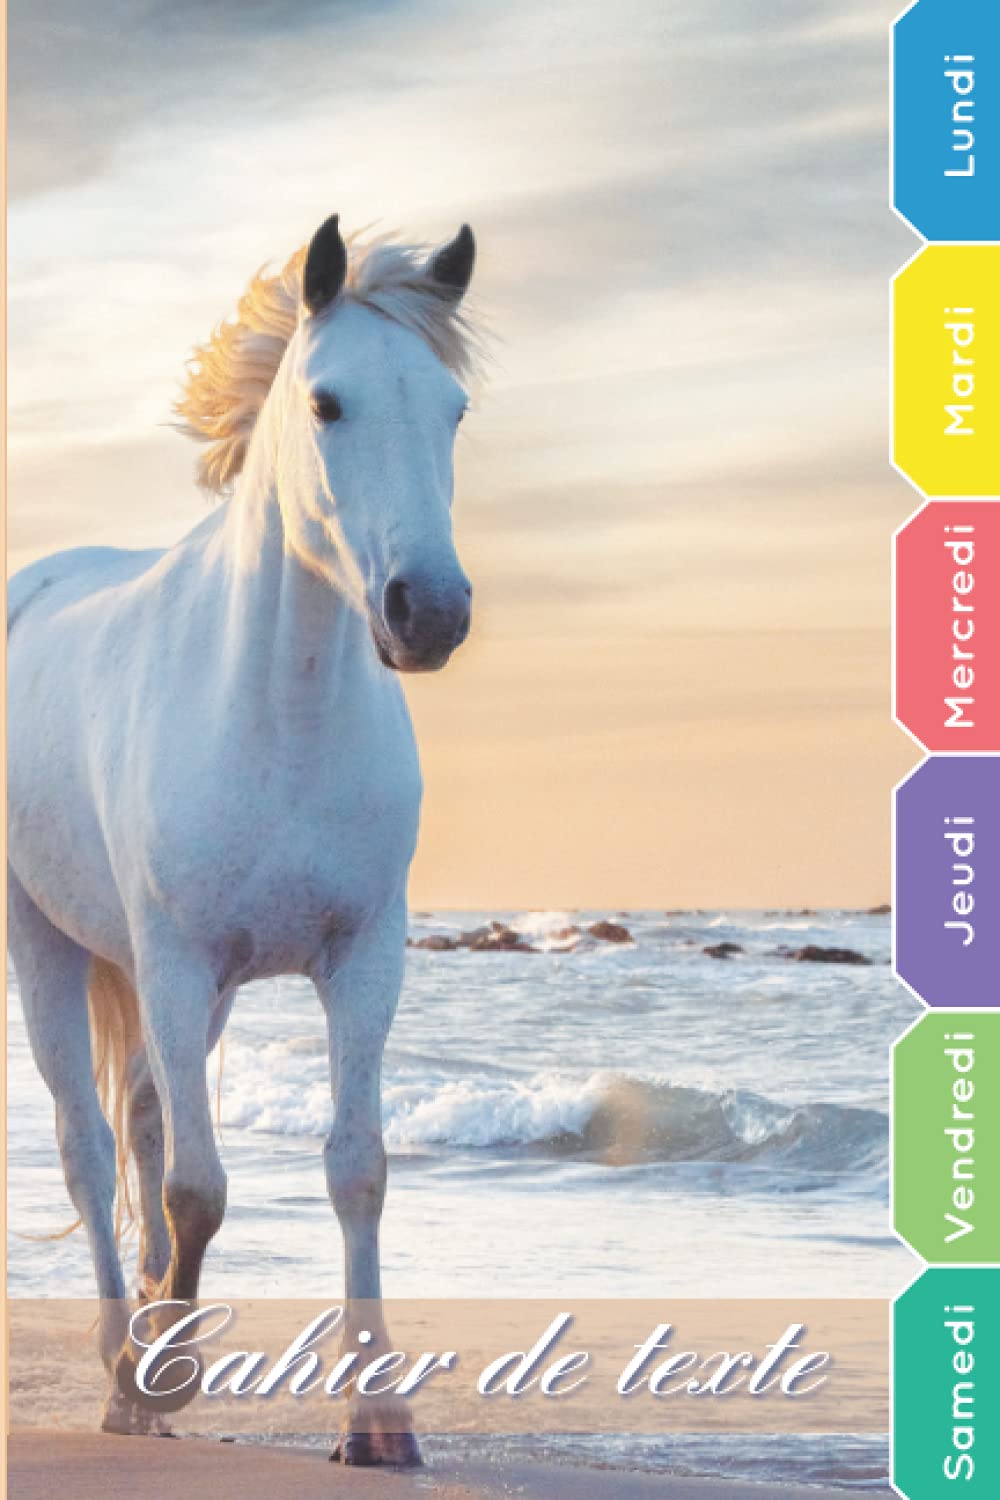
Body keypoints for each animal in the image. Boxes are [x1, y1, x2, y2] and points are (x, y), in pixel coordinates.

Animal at [6, 212, 481, 1466]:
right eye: (325, 403)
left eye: (454, 409)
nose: (430, 612)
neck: (281, 713)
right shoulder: (176, 962)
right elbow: (196, 1191)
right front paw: (161, 1379)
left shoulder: (362, 958)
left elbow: (356, 1169)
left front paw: (378, 1418)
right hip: (51, 947)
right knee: (87, 1147)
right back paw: (125, 1368)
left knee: (139, 1121)